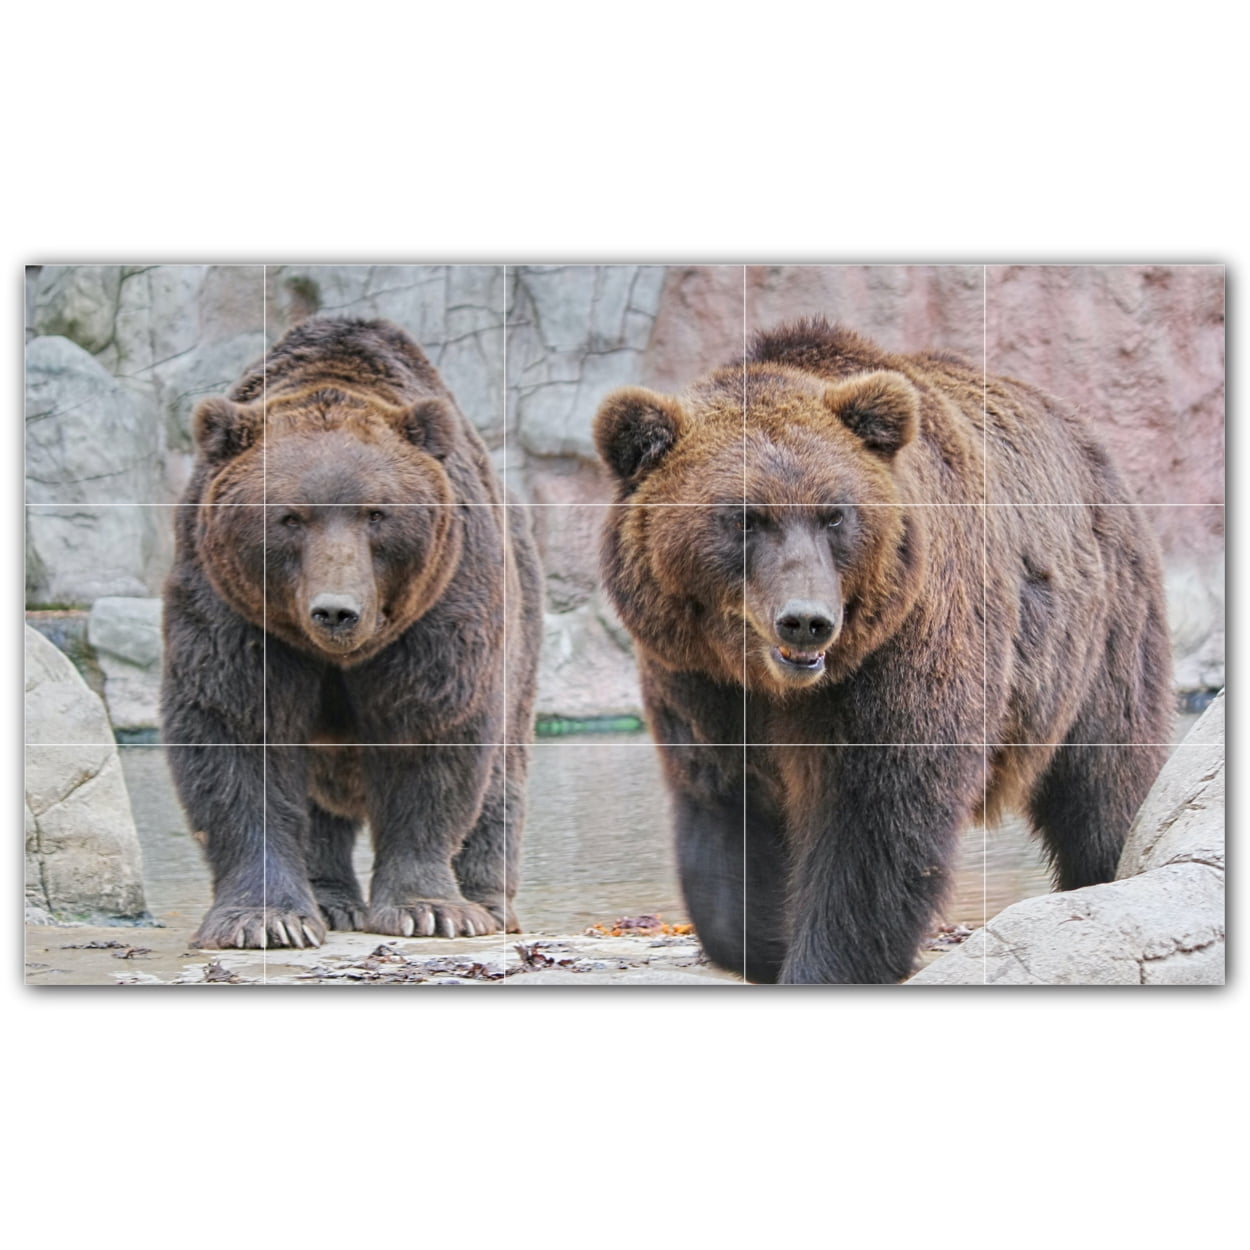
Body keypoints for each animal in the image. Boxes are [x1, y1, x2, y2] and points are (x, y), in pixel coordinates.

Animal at [161, 317, 542, 949]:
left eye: (376, 514)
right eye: (289, 517)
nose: (336, 612)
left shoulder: (439, 606)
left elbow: (429, 733)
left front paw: (430, 910)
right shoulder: (233, 608)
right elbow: (238, 730)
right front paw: (265, 920)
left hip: (521, 627)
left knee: (501, 774)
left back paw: (489, 902)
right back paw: (330, 899)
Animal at [593, 318, 1172, 984]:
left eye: (834, 515)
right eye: (743, 518)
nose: (806, 622)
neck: (773, 683)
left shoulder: (901, 650)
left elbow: (876, 818)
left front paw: (823, 962)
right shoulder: (696, 681)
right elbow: (725, 803)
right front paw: (759, 938)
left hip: (1097, 632)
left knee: (1105, 774)